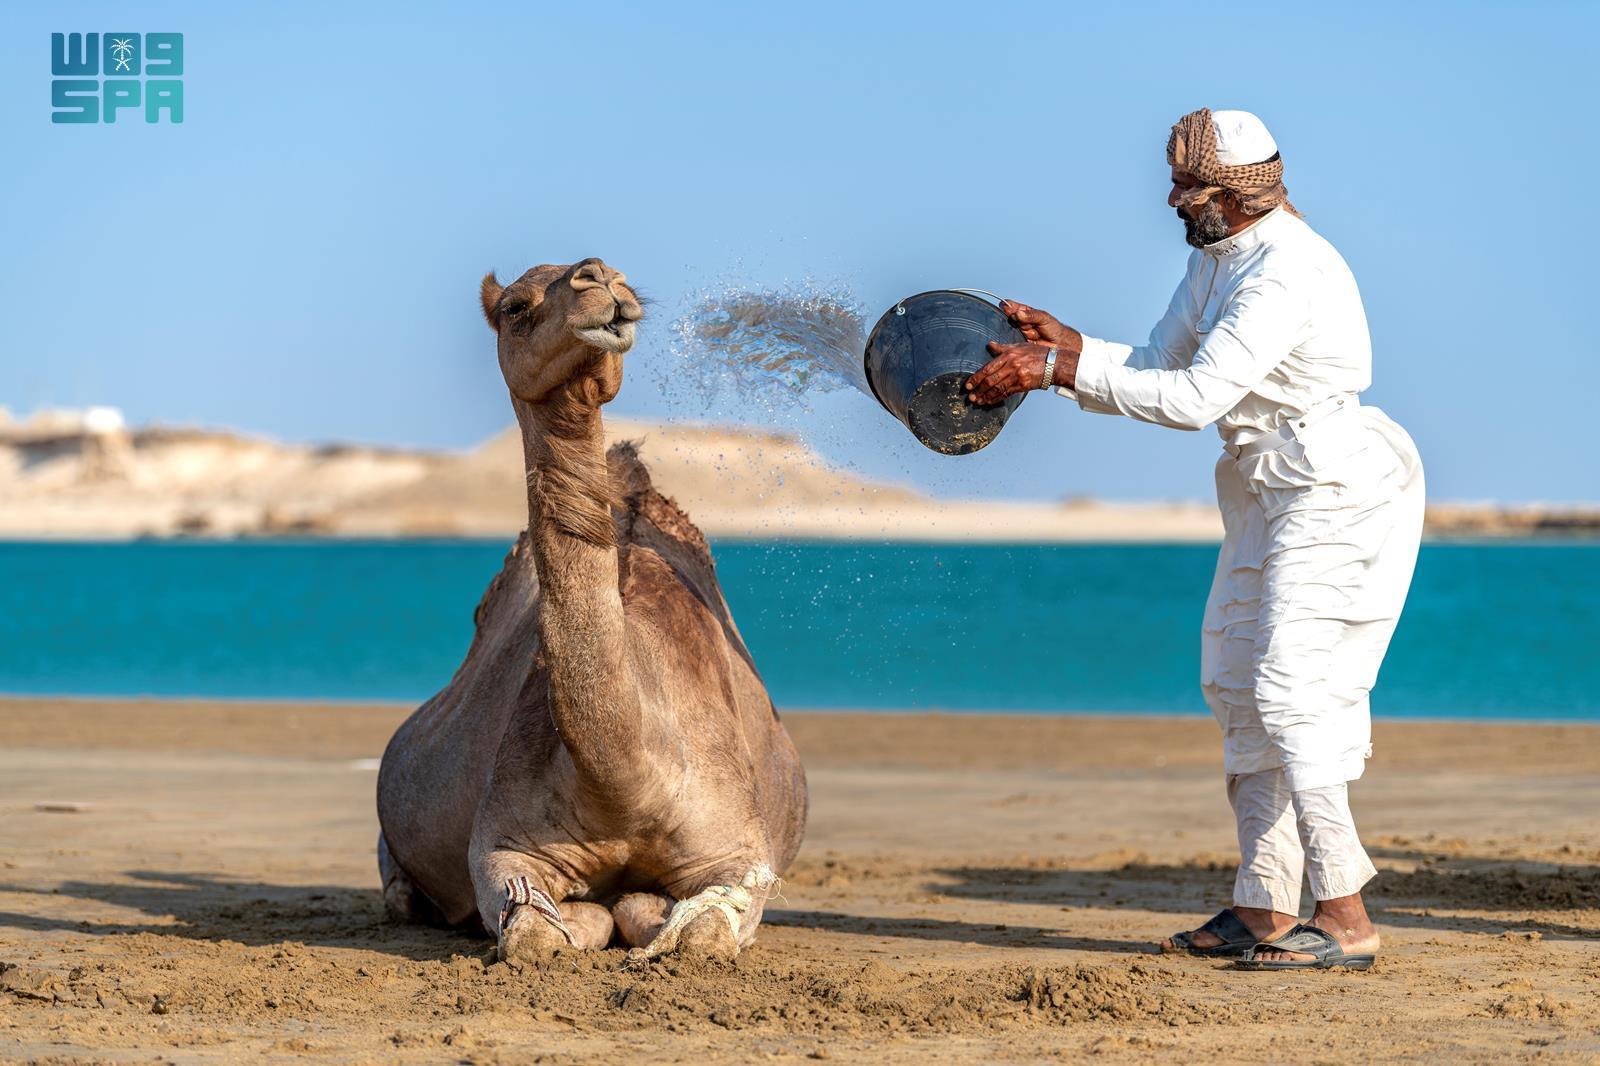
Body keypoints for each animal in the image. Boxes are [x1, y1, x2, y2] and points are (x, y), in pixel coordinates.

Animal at [375, 257, 808, 962]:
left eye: (619, 273)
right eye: (515, 306)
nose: (599, 277)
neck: (632, 786)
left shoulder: (737, 850)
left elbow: (700, 930)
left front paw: (644, 914)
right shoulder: (505, 847)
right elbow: (532, 930)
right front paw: (589, 916)